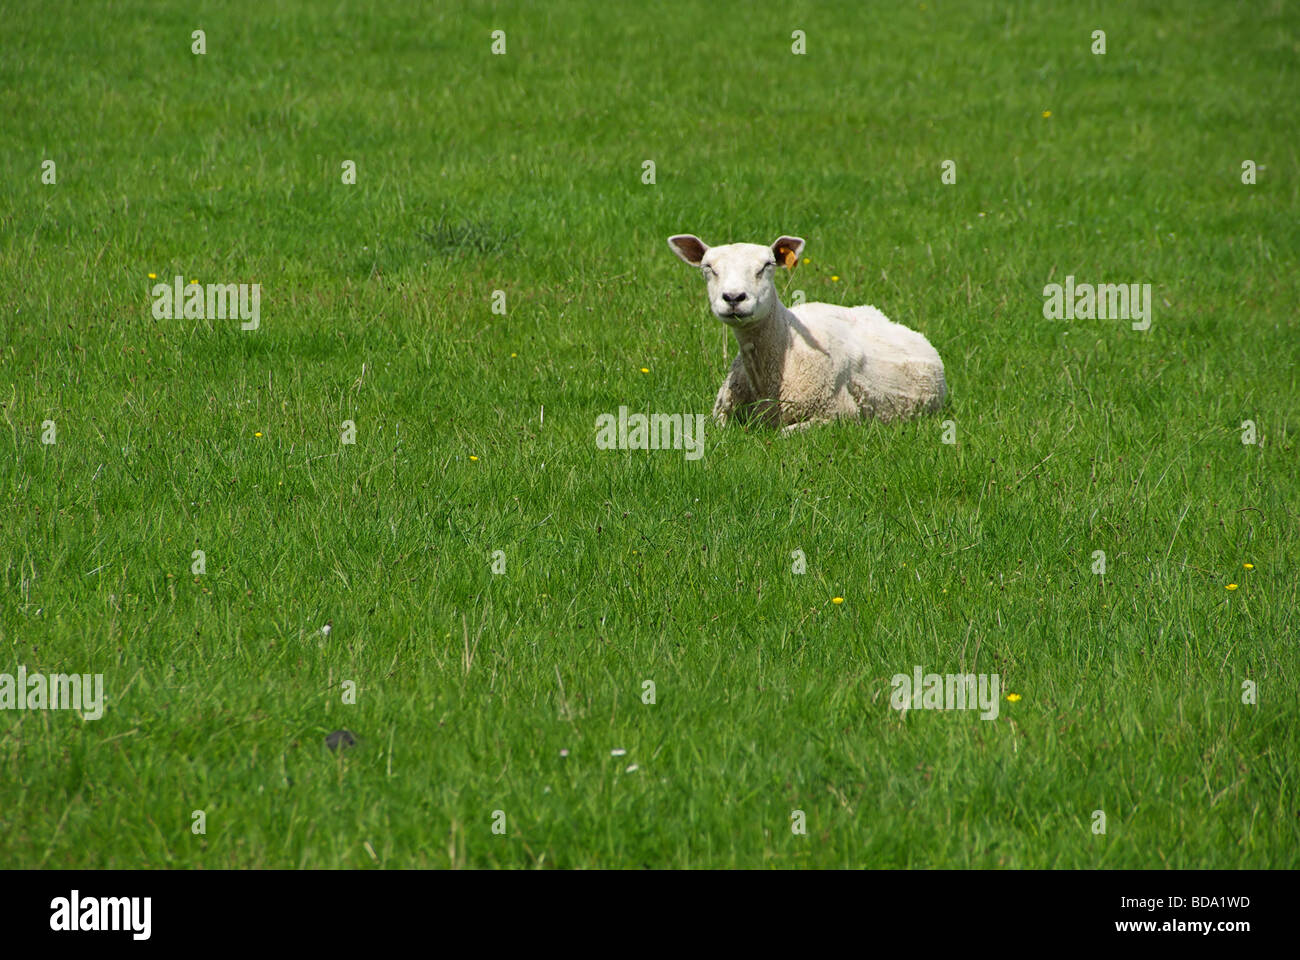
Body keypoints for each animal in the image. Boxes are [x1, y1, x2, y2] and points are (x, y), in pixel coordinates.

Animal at [668, 234, 946, 432]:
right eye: (708, 267)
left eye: (766, 266)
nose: (734, 297)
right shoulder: (721, 414)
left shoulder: (838, 415)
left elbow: (784, 433)